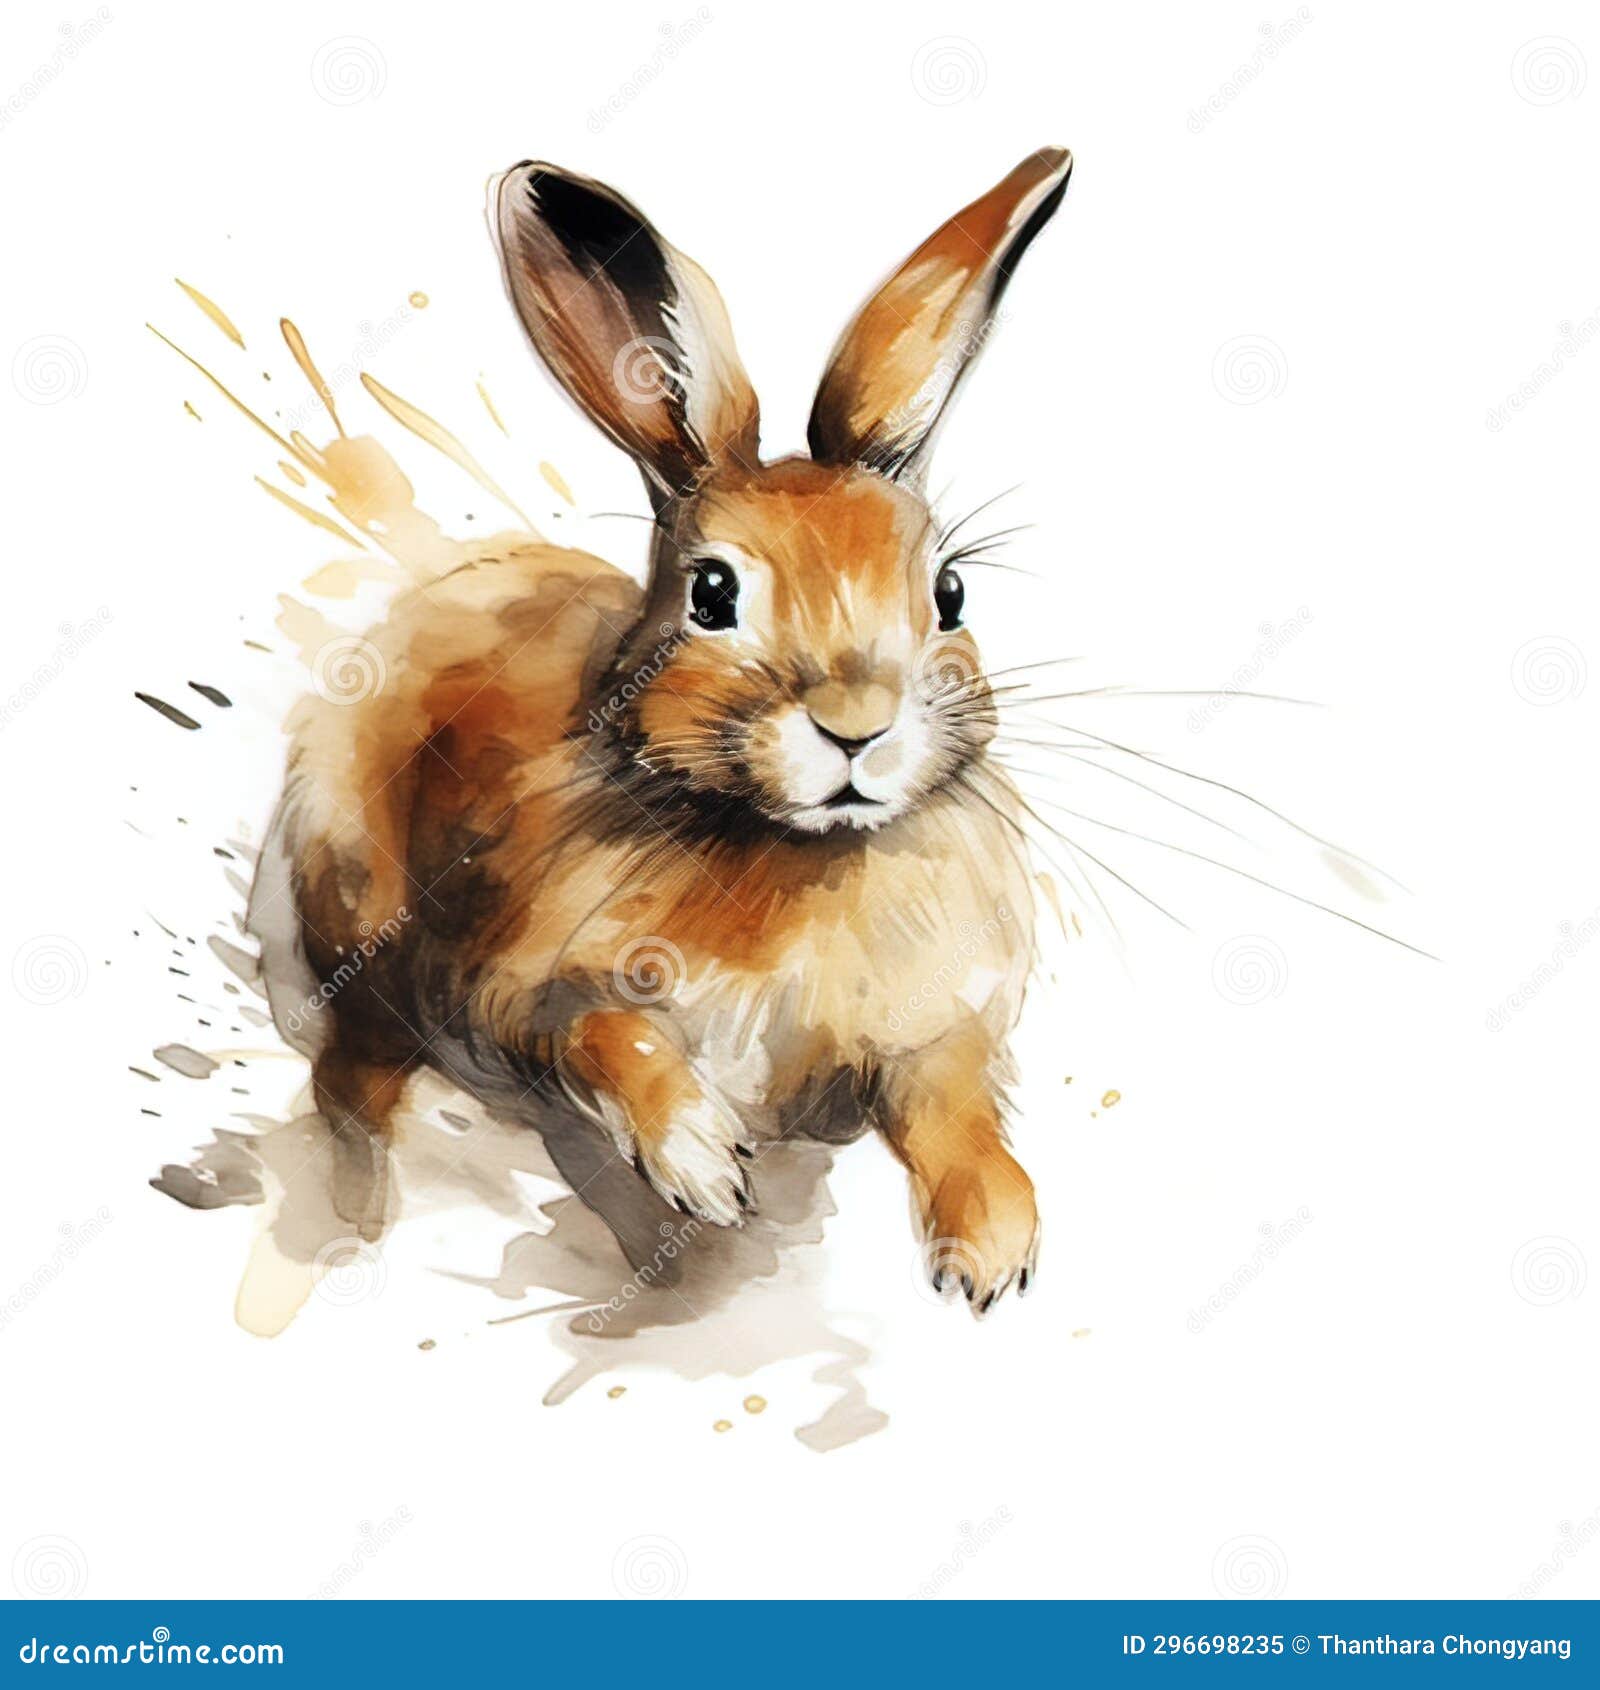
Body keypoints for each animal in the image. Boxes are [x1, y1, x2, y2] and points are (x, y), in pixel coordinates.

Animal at [262, 146, 1073, 1312]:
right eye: (712, 593)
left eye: (951, 592)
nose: (856, 727)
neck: (794, 849)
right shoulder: (520, 990)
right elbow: (613, 1035)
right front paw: (704, 1163)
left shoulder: (934, 1031)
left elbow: (955, 1110)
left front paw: (995, 1244)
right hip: (358, 912)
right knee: (353, 1071)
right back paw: (353, 1202)